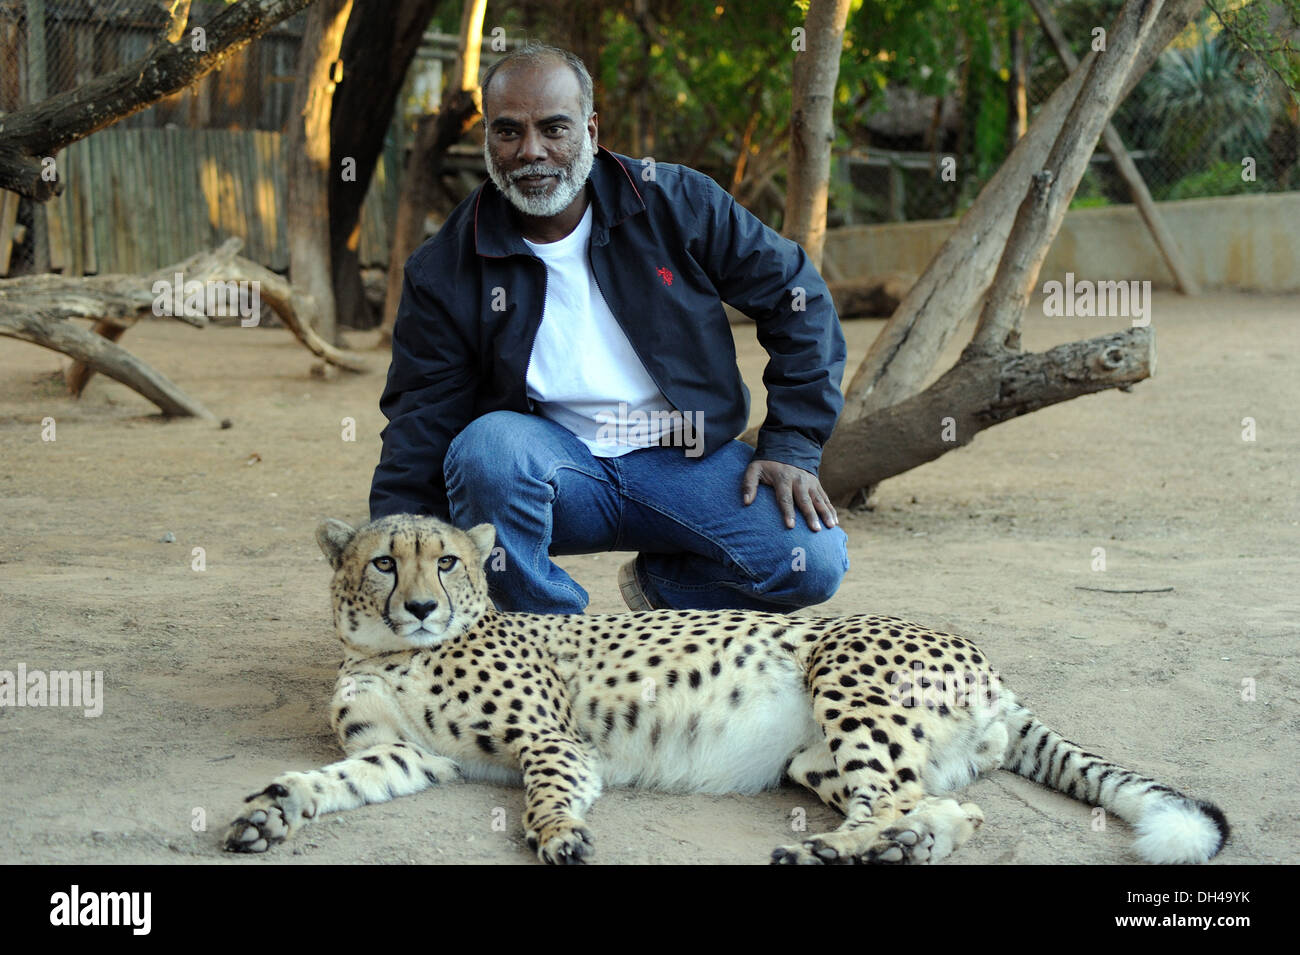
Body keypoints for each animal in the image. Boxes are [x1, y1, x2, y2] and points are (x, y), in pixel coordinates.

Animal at [222, 513, 1229, 865]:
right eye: (384, 562)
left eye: (449, 562)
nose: (424, 605)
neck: (391, 653)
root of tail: (990, 663)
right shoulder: (406, 755)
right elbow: (327, 780)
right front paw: (271, 812)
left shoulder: (552, 739)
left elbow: (546, 793)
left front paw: (560, 835)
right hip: (815, 759)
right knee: (946, 807)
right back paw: (888, 847)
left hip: (846, 675)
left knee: (909, 800)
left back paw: (829, 851)